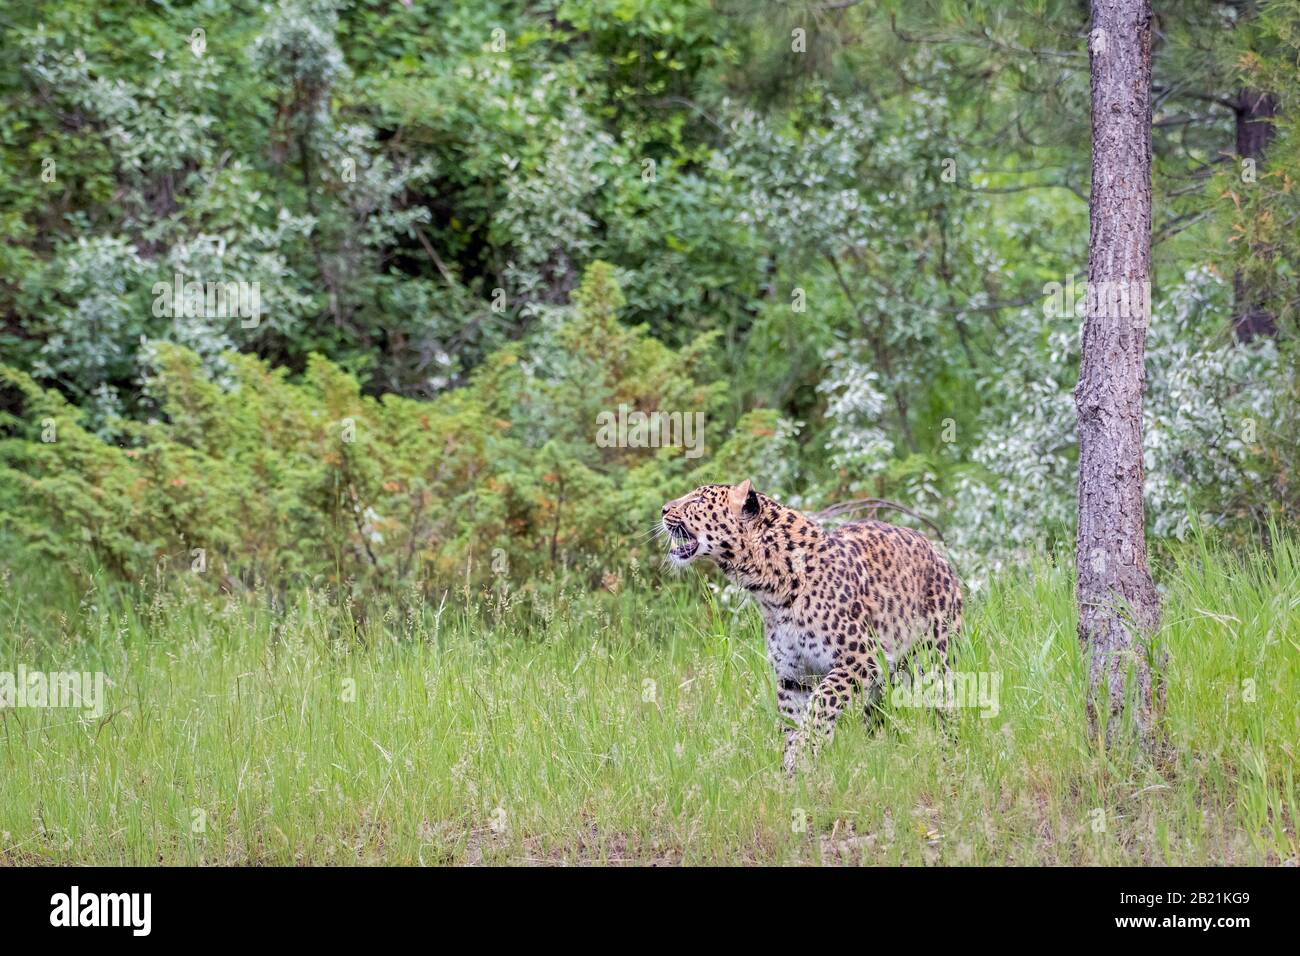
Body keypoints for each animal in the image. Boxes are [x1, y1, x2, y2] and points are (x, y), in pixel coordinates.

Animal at [661, 480, 963, 774]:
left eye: (698, 500)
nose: (663, 509)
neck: (770, 591)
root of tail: (936, 551)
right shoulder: (793, 675)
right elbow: (790, 722)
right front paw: (794, 771)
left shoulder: (861, 659)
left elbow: (822, 700)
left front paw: (808, 747)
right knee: (876, 718)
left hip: (935, 659)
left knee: (945, 706)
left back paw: (950, 756)